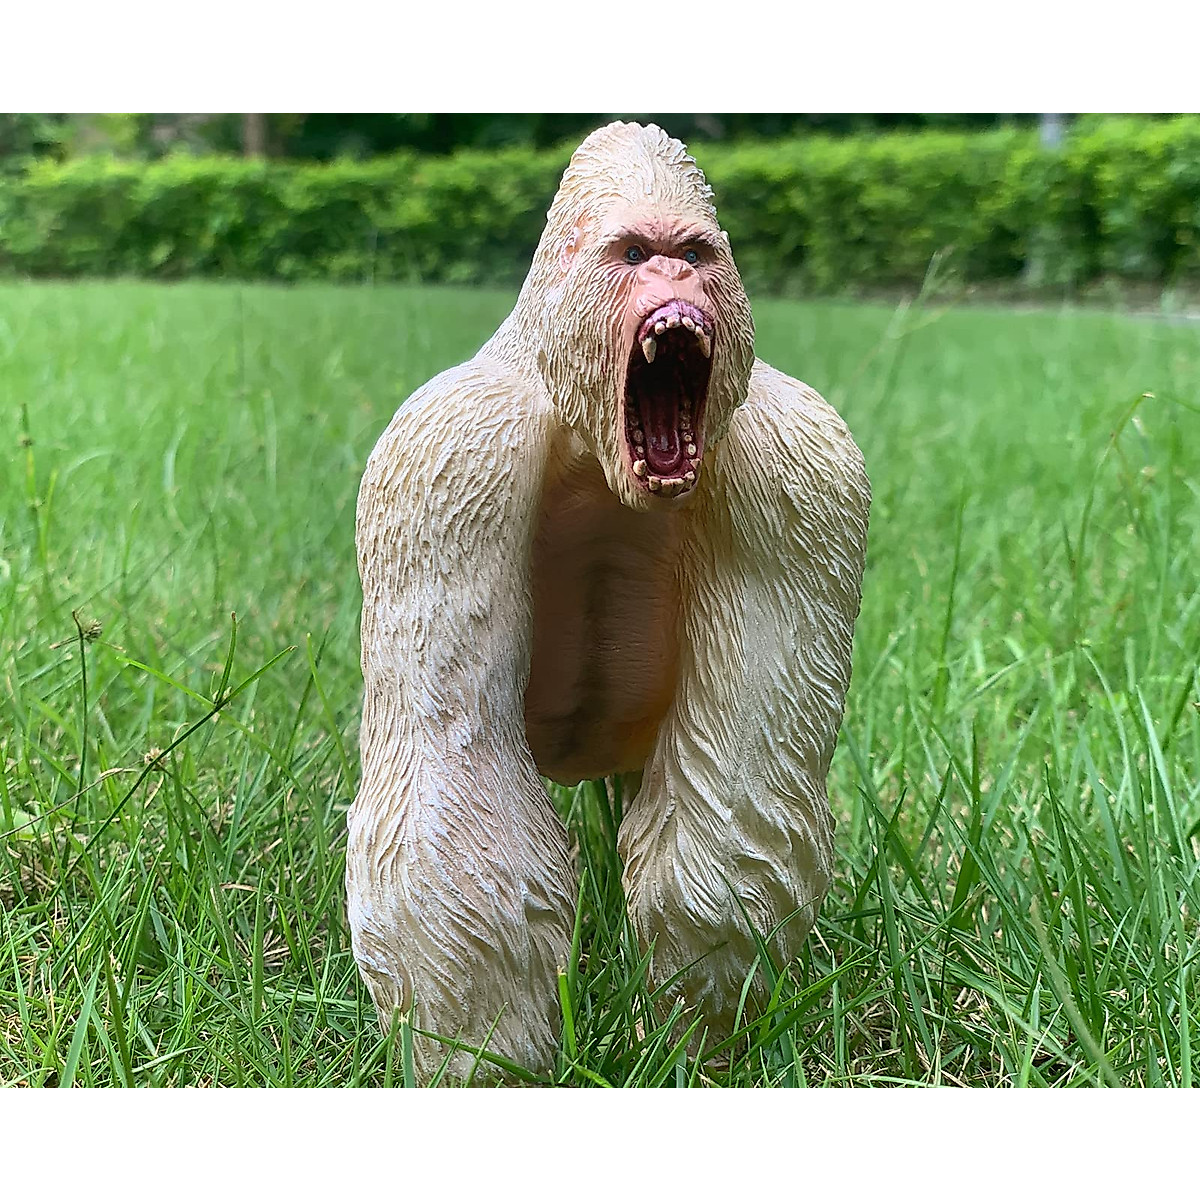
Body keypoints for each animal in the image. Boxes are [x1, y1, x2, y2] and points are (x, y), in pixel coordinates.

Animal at [346, 122, 870, 1083]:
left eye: (693, 256)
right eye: (633, 255)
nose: (675, 288)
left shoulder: (805, 469)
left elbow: (740, 797)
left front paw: (695, 1031)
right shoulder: (449, 454)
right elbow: (450, 782)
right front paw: (487, 1056)